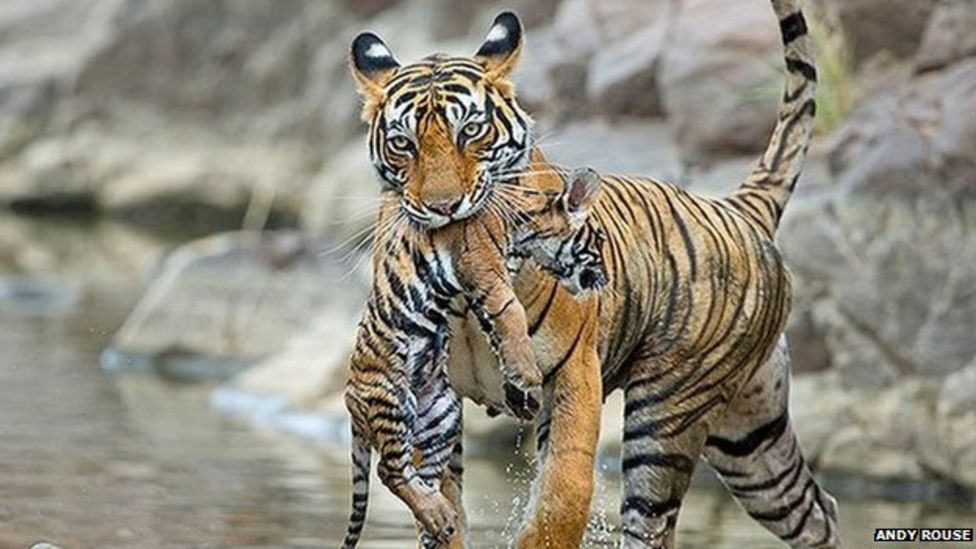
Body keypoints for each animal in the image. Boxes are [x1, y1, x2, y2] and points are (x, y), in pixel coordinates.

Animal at [341, 167, 606, 548]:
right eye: (598, 240)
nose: (605, 279)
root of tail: (349, 402)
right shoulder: (484, 271)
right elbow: (511, 314)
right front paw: (528, 377)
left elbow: (500, 331)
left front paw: (521, 391)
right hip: (391, 401)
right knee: (389, 470)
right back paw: (439, 515)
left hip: (442, 415)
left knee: (423, 475)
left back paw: (441, 518)